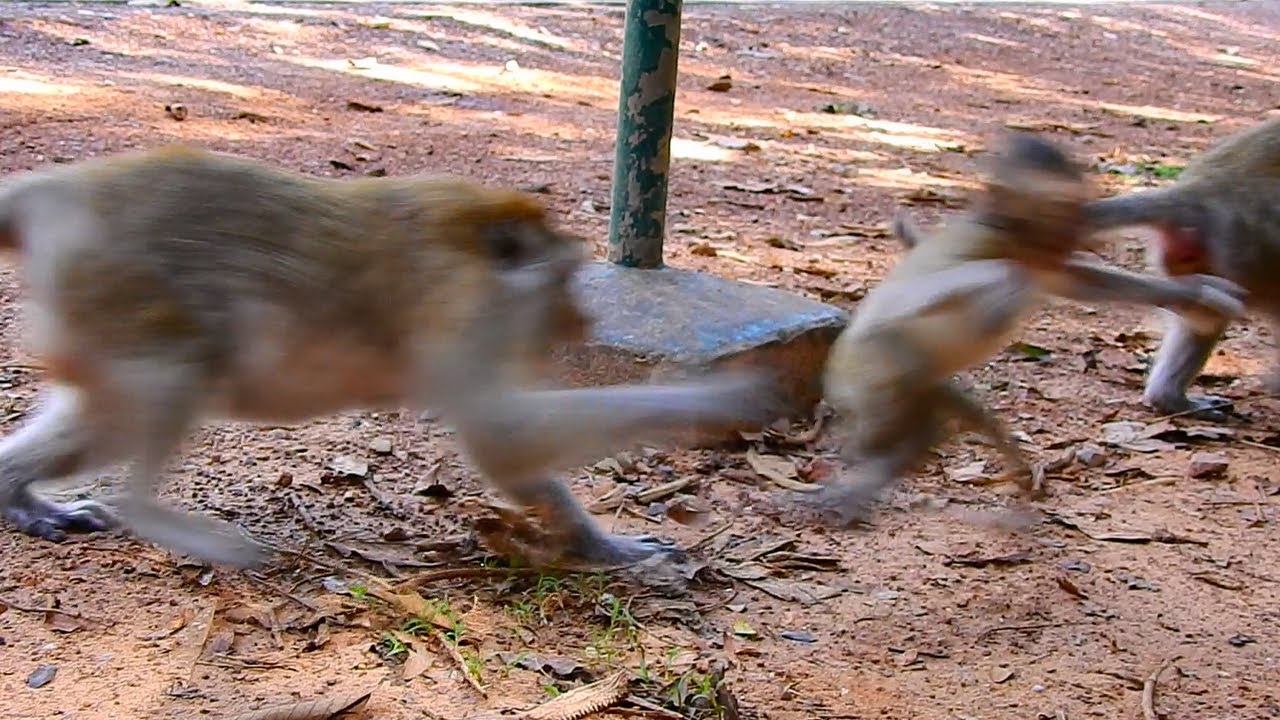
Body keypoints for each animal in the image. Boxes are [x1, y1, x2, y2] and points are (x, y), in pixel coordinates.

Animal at [0, 145, 780, 570]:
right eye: (562, 282)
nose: (578, 319)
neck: (474, 247)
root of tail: (57, 191)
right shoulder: (466, 307)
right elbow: (501, 437)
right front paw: (722, 397)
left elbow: (507, 449)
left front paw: (598, 547)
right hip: (117, 282)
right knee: (176, 377)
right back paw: (148, 512)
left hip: (92, 307)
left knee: (112, 413)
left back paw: (18, 495)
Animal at [812, 132, 1247, 527]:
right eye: (1059, 209)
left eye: (1076, 206)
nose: (1080, 227)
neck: (1005, 228)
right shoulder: (998, 245)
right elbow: (921, 300)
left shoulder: (1041, 254)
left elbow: (1074, 279)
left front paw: (1195, 294)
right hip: (870, 371)